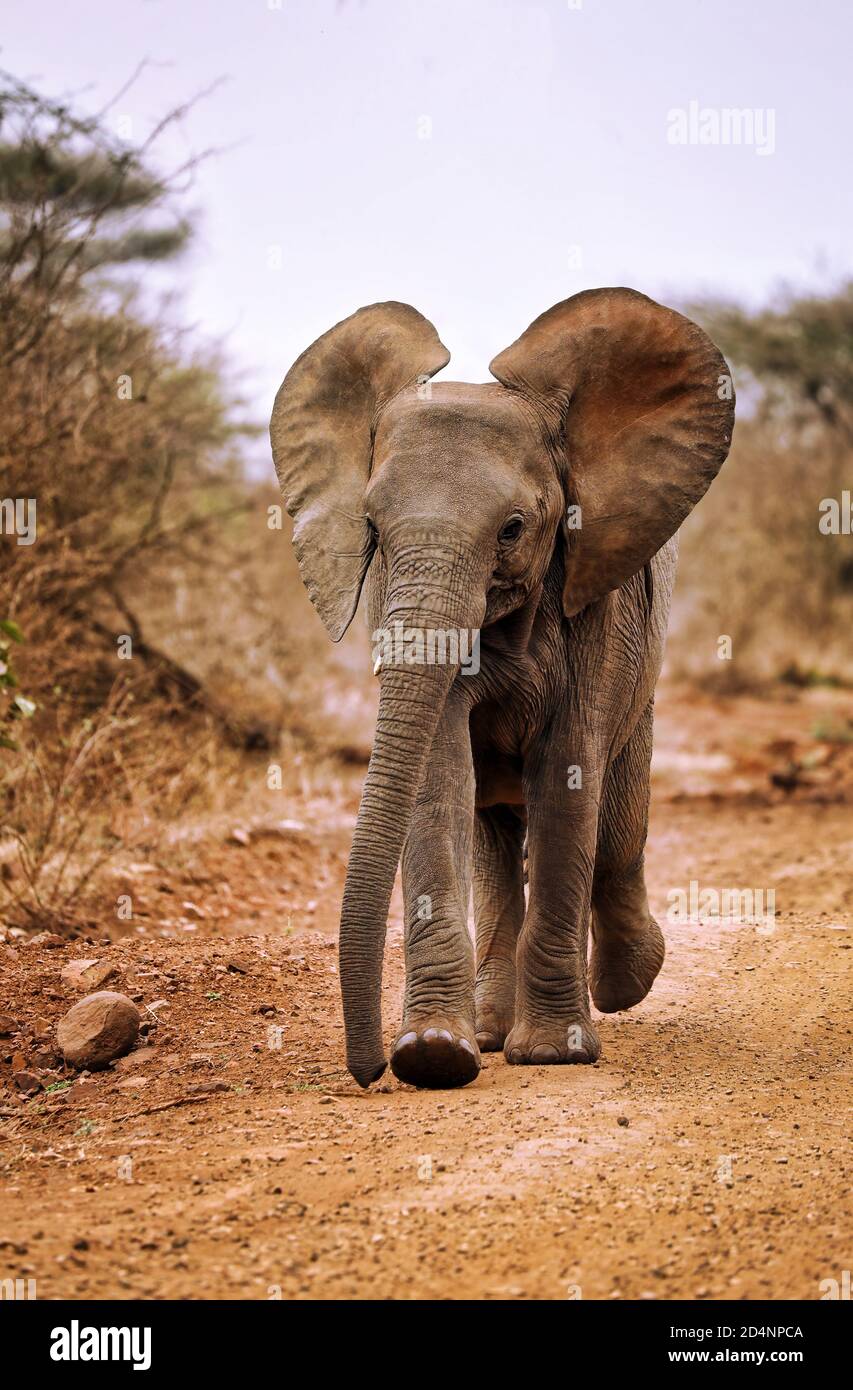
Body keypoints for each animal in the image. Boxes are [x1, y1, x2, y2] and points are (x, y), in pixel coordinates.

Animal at [270, 288, 734, 1091]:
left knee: (617, 829)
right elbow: (437, 775)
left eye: (513, 529)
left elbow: (567, 775)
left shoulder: (595, 605)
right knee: (491, 828)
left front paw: (554, 1053)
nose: (366, 1071)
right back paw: (489, 1032)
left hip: (644, 683)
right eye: (371, 528)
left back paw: (625, 984)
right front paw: (433, 1055)